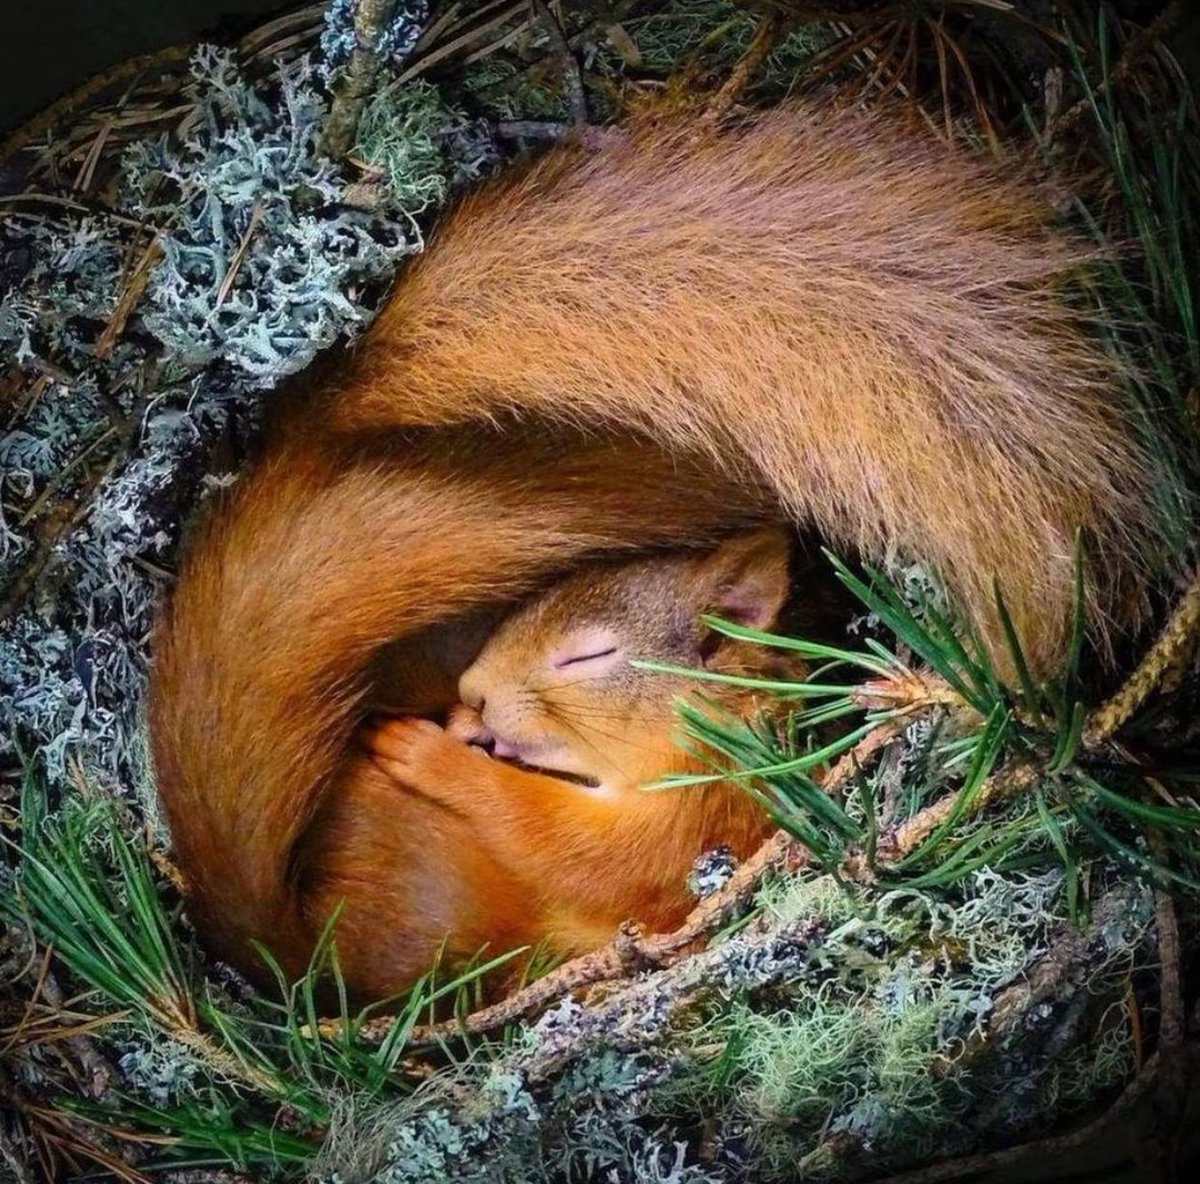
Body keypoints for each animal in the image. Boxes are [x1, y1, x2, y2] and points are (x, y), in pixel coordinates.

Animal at [363, 527, 800, 963]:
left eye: (588, 656)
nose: (472, 693)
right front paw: (462, 723)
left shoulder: (696, 804)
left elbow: (579, 847)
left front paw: (430, 755)